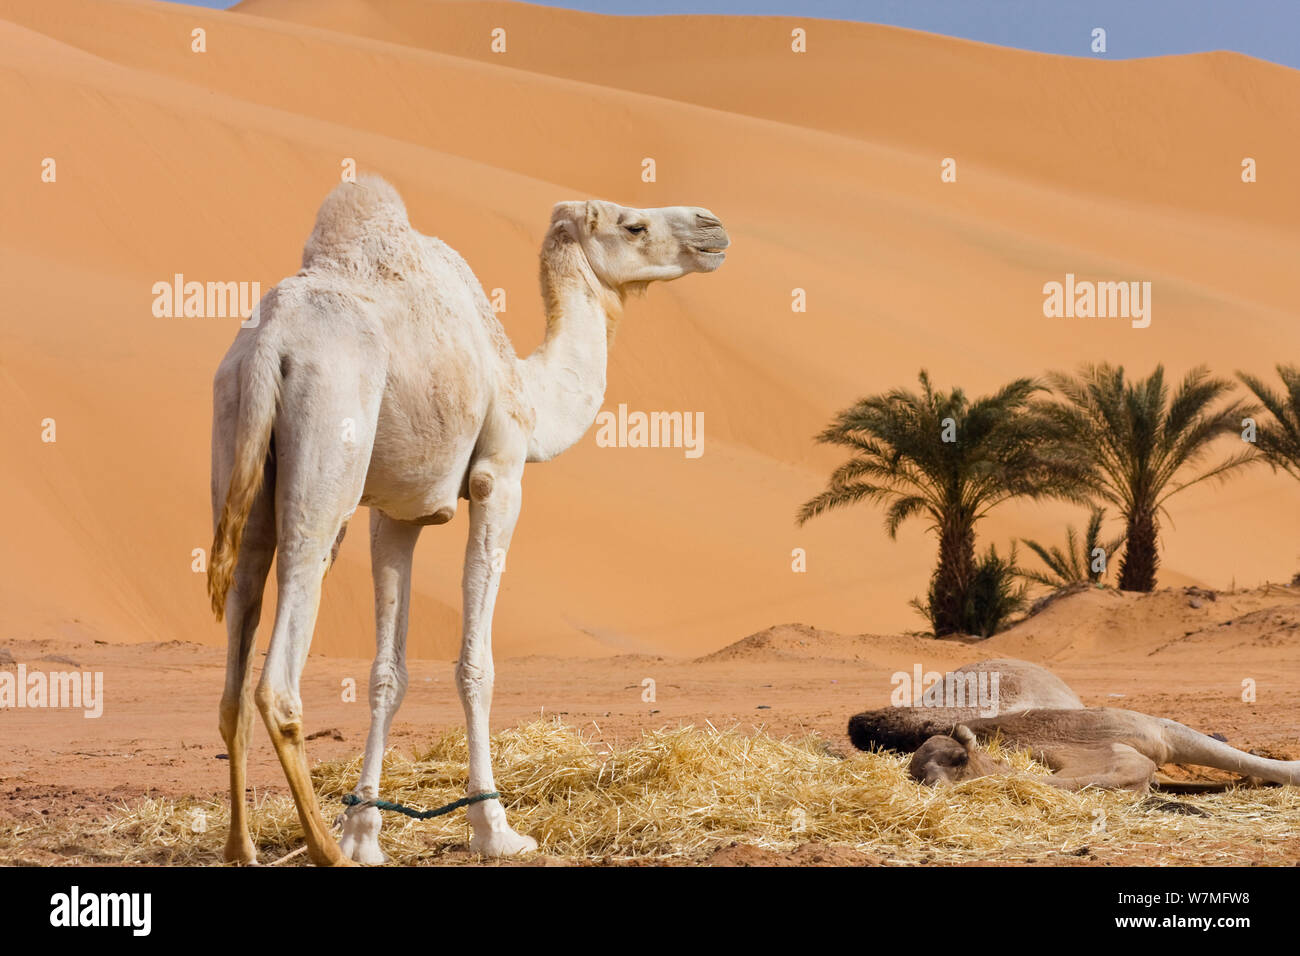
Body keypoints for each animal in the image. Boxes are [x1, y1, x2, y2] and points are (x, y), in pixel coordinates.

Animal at [207, 176, 729, 865]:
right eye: (633, 225)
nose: (714, 226)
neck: (528, 386)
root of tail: (270, 344)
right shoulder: (498, 476)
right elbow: (475, 665)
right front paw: (495, 828)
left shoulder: (396, 513)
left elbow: (387, 673)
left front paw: (365, 833)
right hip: (328, 449)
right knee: (281, 665)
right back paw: (323, 849)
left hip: (236, 438)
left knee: (237, 650)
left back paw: (244, 848)